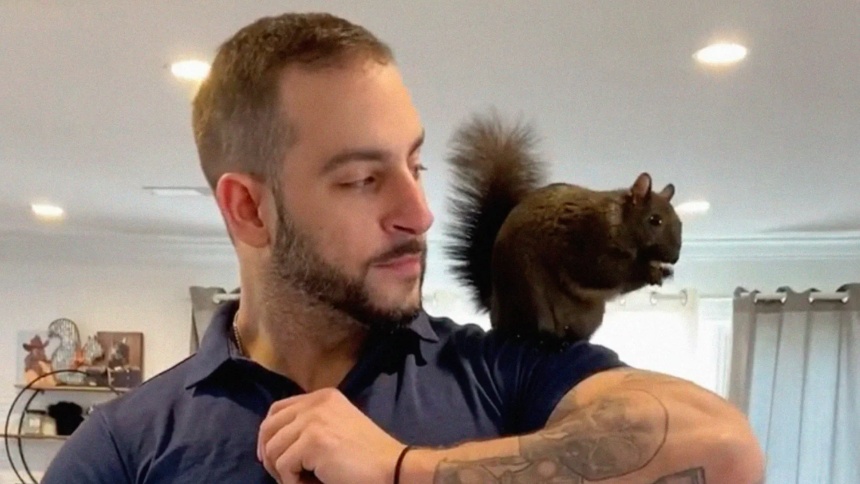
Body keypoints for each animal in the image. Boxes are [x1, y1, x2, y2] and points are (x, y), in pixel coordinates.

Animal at [443, 112, 683, 344]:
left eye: (680, 223)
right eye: (654, 220)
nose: (675, 258)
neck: (616, 220)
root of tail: (496, 309)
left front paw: (663, 271)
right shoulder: (585, 240)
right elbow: (603, 272)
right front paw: (648, 269)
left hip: (590, 315)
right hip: (531, 297)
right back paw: (547, 337)